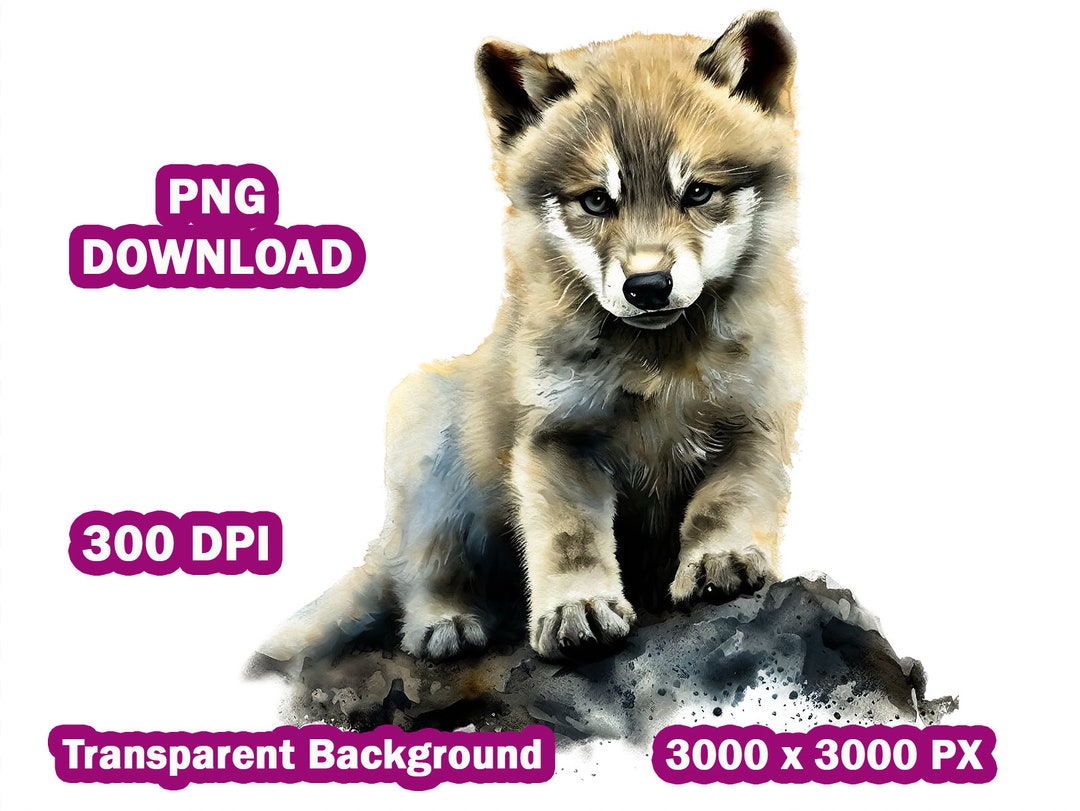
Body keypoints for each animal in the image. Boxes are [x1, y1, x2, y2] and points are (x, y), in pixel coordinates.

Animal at [260, 10, 803, 668]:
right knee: (423, 576)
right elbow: (569, 539)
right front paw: (578, 609)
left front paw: (718, 560)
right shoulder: (555, 438)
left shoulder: (755, 421)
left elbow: (726, 502)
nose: (648, 286)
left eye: (697, 192)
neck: (658, 371)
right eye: (595, 200)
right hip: (427, 453)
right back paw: (446, 624)